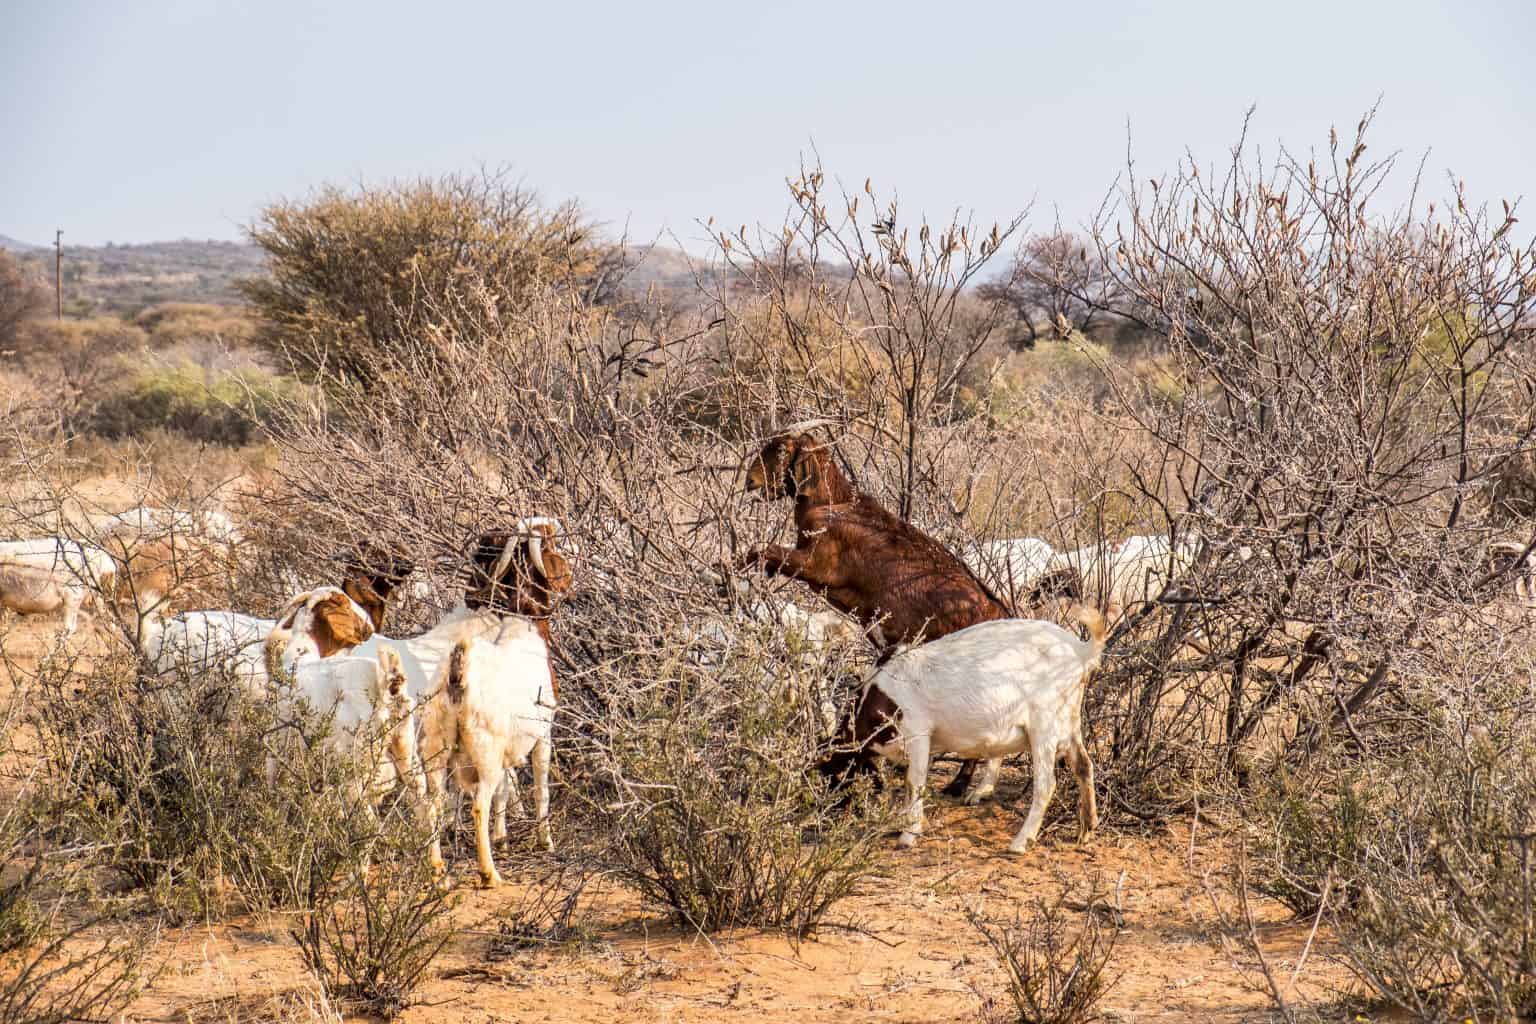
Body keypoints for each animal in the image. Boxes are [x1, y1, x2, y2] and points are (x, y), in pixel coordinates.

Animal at [420, 615, 556, 887]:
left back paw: (438, 871)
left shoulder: (505, 755)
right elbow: (541, 790)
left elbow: (504, 792)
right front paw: (545, 841)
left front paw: (501, 840)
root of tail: (459, 669)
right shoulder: (543, 737)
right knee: (480, 805)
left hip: (436, 748)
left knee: (433, 803)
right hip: (486, 753)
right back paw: (489, 874)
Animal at [738, 429, 1013, 798]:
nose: (751, 481)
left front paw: (723, 572)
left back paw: (961, 786)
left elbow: (760, 548)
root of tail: (1001, 612)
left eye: (780, 449)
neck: (832, 502)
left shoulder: (816, 564)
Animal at [823, 607, 1106, 853]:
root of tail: (1079, 651)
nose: (828, 819)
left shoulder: (918, 731)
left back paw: (1021, 842)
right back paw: (1087, 827)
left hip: (1043, 723)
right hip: (1070, 719)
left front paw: (908, 835)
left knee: (1046, 783)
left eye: (833, 778)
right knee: (1083, 765)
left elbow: (914, 781)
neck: (880, 694)